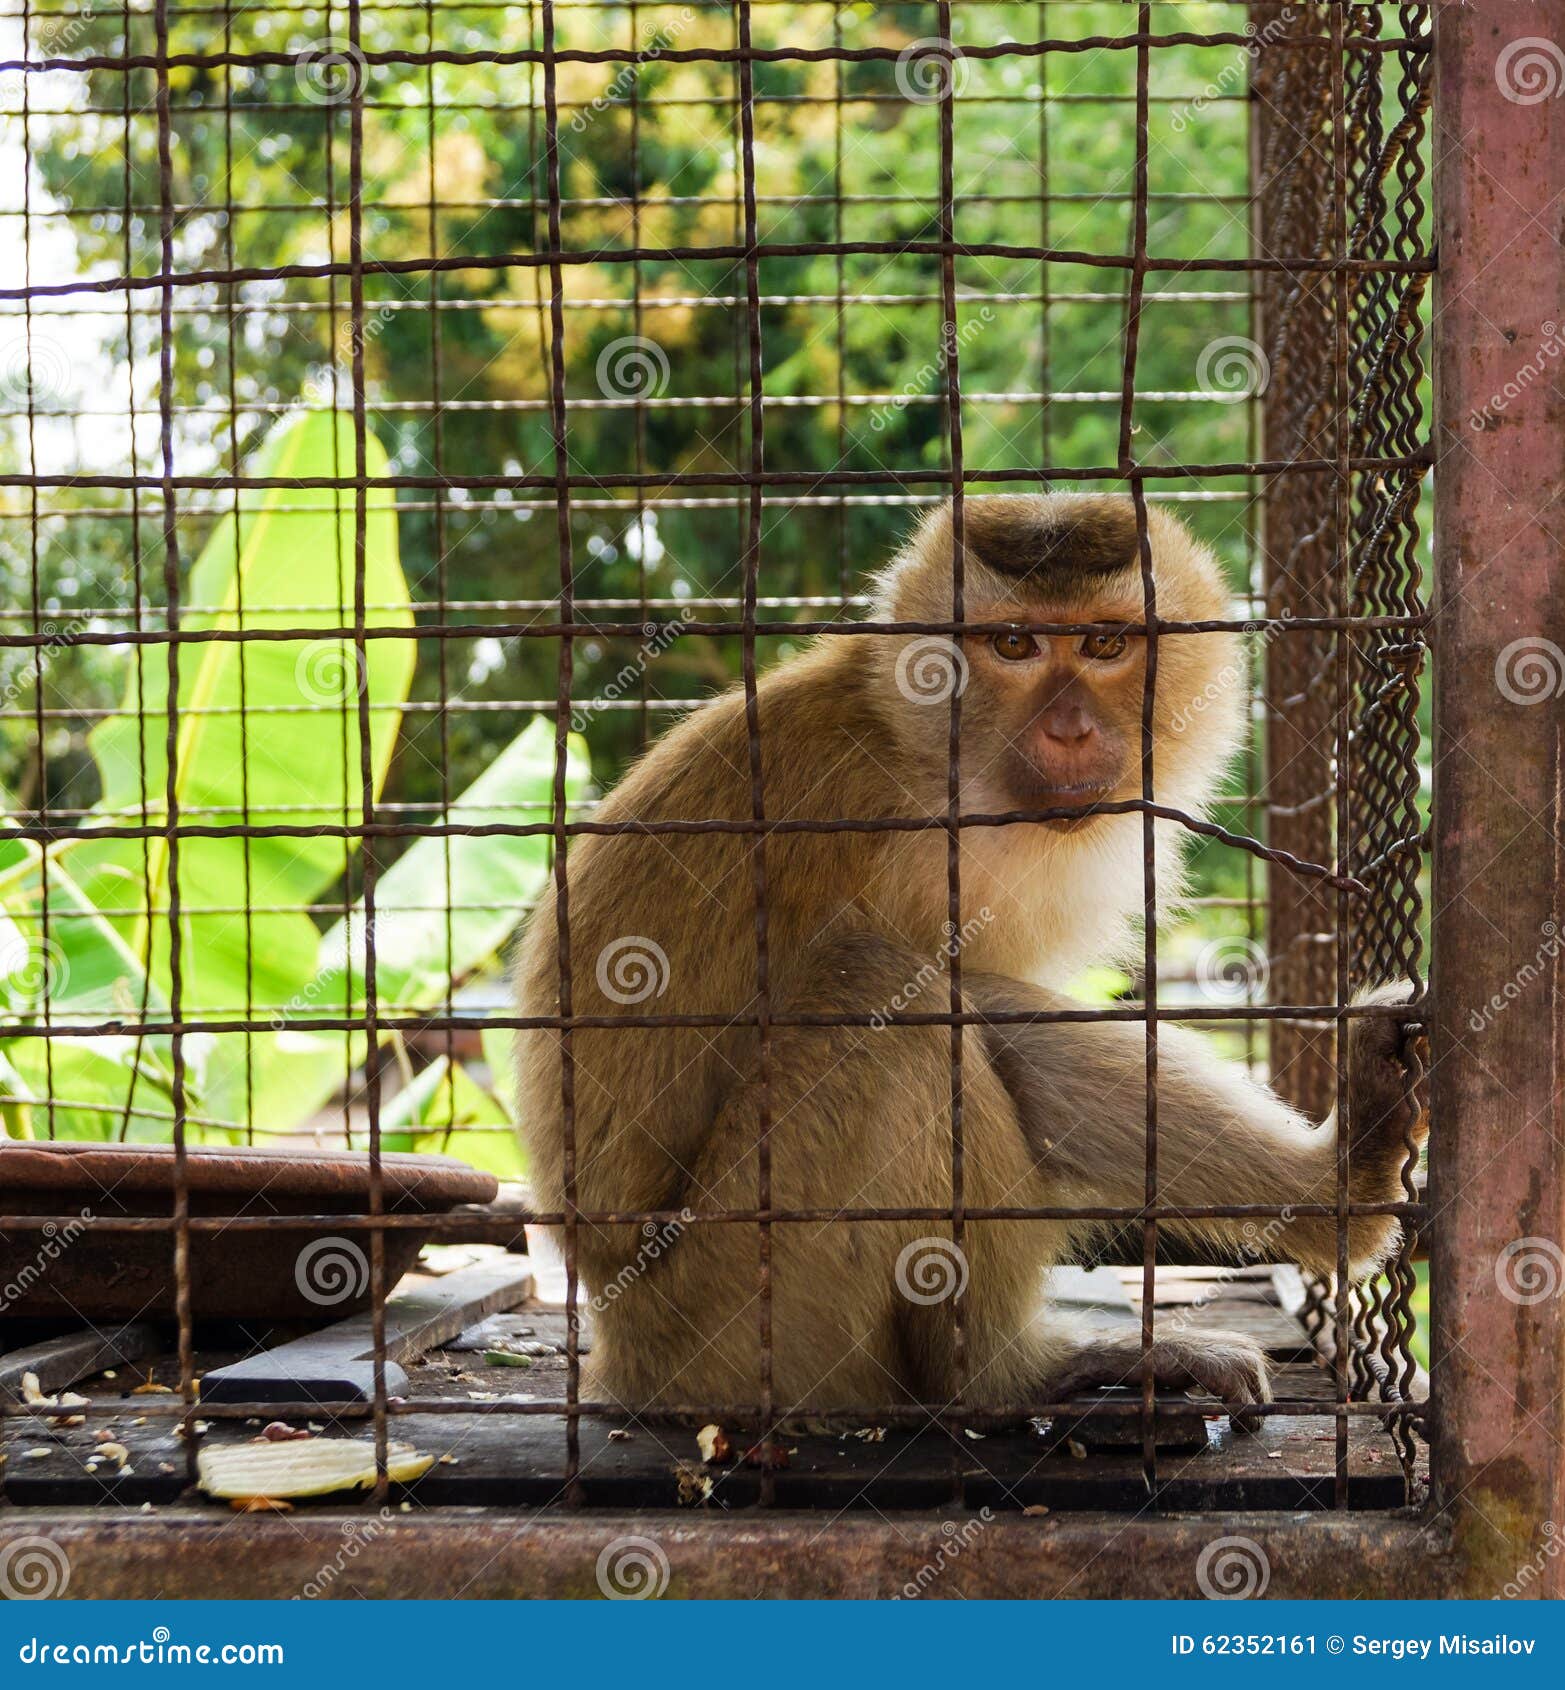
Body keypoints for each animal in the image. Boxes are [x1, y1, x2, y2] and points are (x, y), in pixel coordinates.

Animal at [513, 493, 1423, 1430]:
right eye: (1013, 646)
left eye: (1104, 644)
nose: (1069, 729)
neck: (937, 758)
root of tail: (619, 1350)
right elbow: (945, 995)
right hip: (734, 1318)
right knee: (887, 998)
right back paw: (1005, 1374)